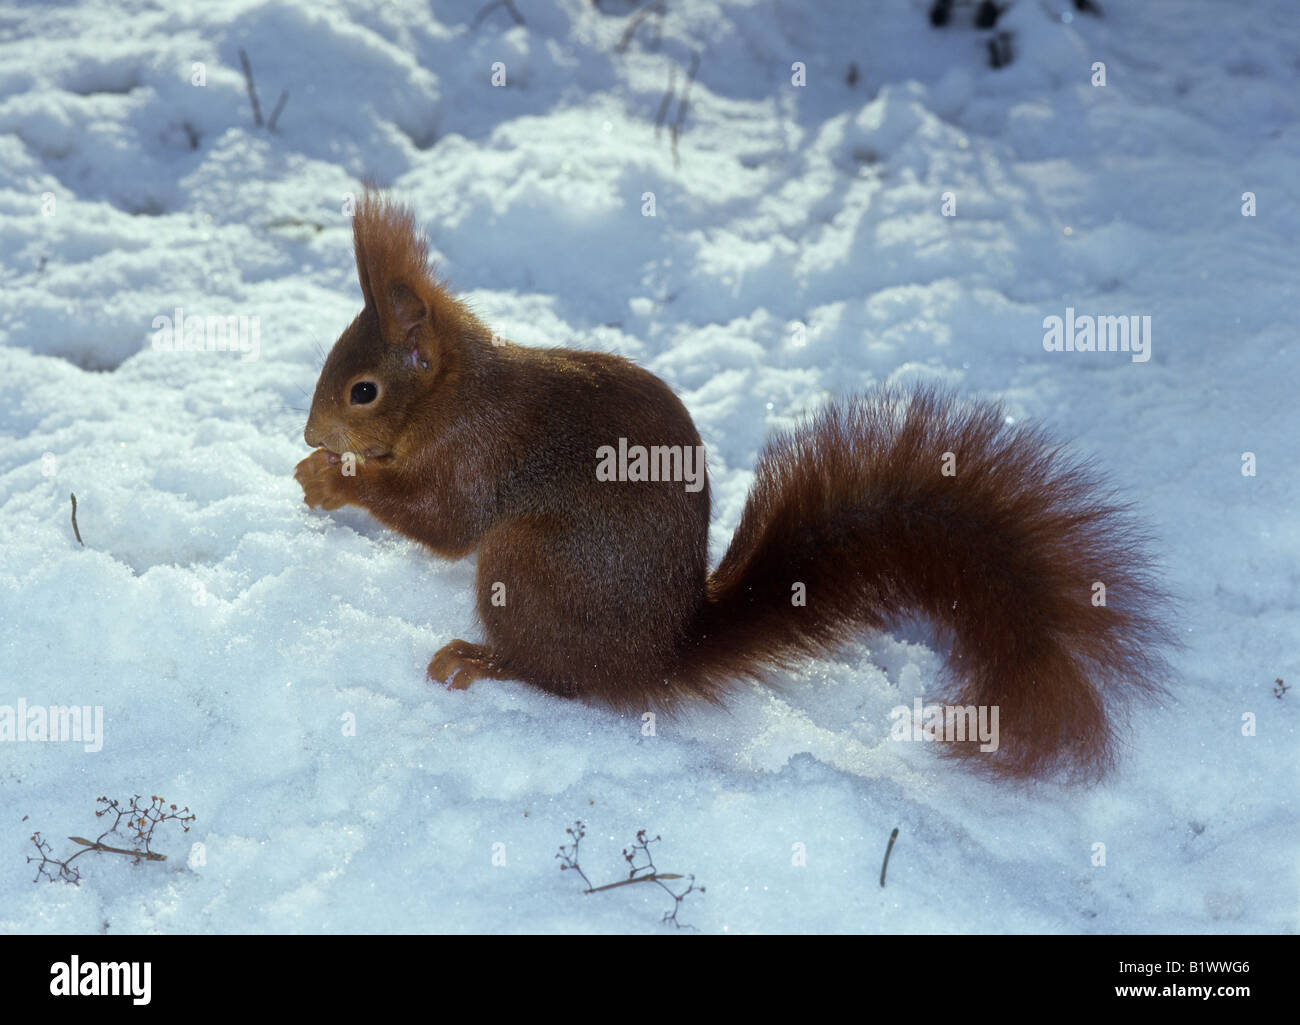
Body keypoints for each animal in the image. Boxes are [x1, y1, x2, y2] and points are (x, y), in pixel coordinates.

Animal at [295, 192, 1171, 781]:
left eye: (363, 390)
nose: (309, 434)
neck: (455, 392)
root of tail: (656, 655)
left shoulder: (482, 454)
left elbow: (442, 520)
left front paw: (334, 477)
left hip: (526, 564)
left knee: (561, 679)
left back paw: (486, 660)